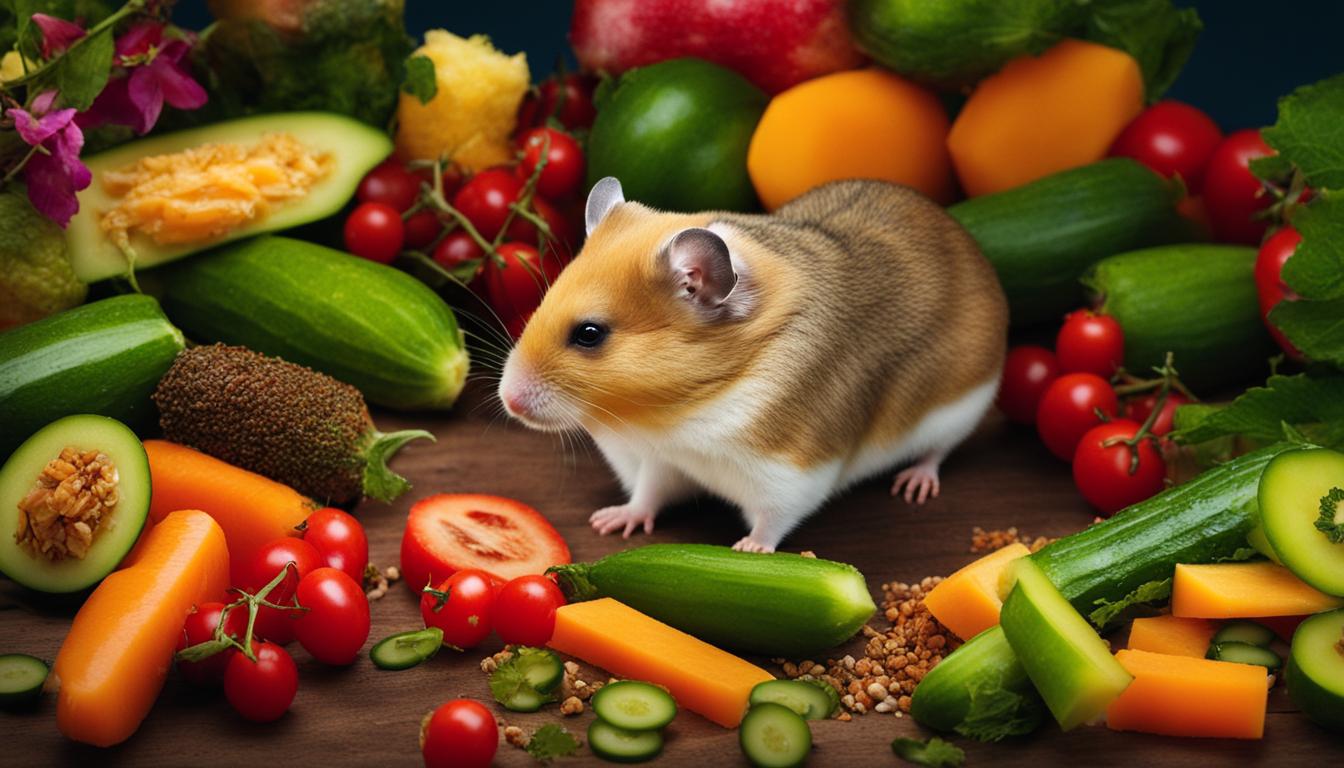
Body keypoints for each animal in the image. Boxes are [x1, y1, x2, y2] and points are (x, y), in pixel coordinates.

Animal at [499, 177, 1008, 552]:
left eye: (590, 334)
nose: (508, 401)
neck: (679, 414)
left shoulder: (792, 474)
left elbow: (772, 519)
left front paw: (748, 550)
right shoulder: (664, 460)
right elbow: (649, 492)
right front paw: (609, 522)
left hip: (958, 412)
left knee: (937, 452)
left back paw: (913, 484)